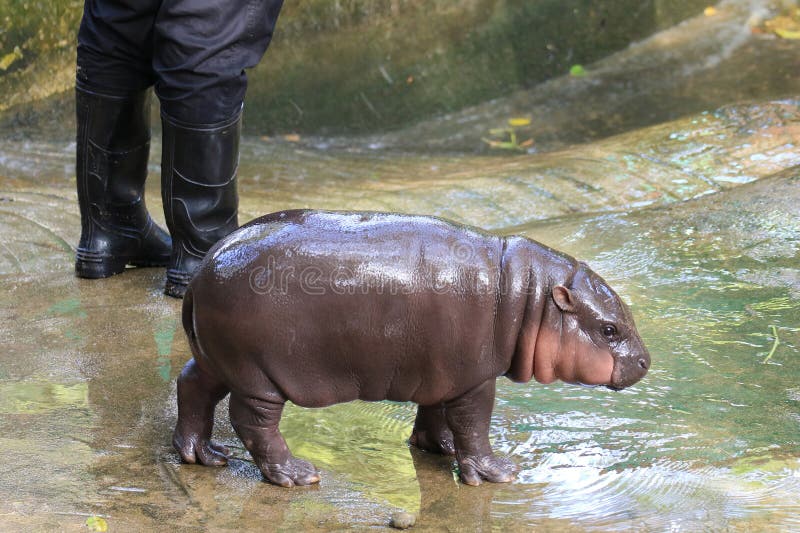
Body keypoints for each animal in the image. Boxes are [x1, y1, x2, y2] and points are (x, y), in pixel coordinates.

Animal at [172, 209, 650, 487]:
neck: (526, 295)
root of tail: (202, 270)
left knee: (192, 384)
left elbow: (437, 414)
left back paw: (202, 456)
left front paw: (440, 449)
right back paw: (298, 476)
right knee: (252, 422)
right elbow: (474, 425)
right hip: (257, 375)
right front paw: (497, 472)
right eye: (608, 329)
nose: (646, 361)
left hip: (216, 359)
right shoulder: (474, 378)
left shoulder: (444, 373)